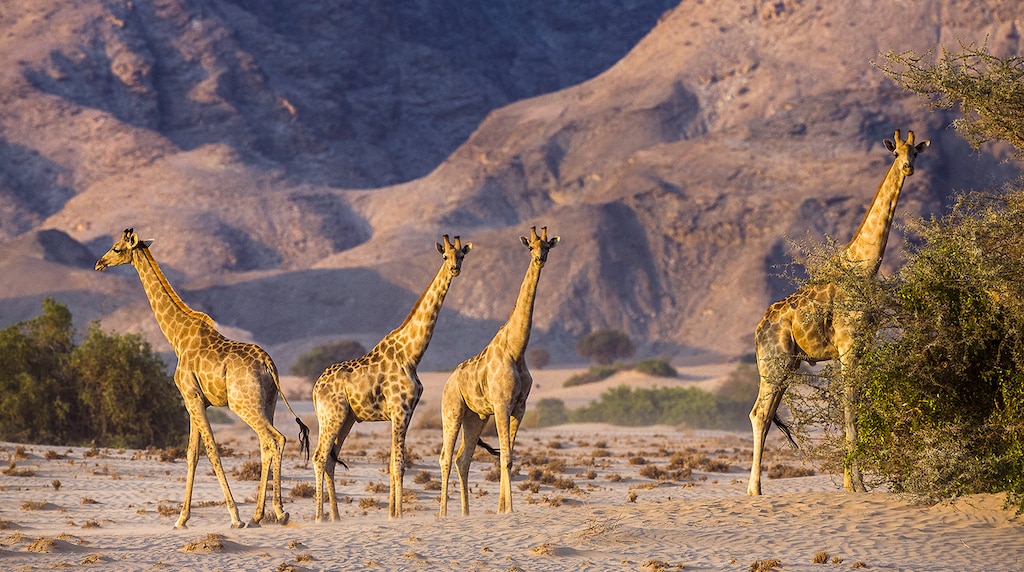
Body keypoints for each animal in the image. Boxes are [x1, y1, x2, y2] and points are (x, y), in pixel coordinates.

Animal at [94, 228, 309, 528]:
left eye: (116, 248)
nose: (99, 263)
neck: (177, 337)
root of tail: (269, 365)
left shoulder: (191, 397)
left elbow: (211, 450)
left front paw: (234, 517)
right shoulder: (195, 400)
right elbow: (191, 455)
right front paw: (181, 519)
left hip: (243, 404)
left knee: (275, 439)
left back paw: (277, 512)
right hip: (269, 402)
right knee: (265, 444)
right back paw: (258, 515)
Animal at [311, 234, 471, 521]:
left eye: (461, 255)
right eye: (445, 256)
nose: (455, 269)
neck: (411, 354)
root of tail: (315, 389)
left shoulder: (404, 412)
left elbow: (393, 463)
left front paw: (392, 513)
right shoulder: (400, 410)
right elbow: (398, 464)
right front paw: (397, 516)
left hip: (347, 419)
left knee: (329, 459)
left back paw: (336, 517)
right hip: (332, 415)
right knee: (319, 457)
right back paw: (320, 518)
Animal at [438, 226, 559, 517]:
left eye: (547, 247)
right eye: (531, 247)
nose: (539, 259)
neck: (516, 350)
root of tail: (447, 382)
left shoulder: (519, 406)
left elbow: (509, 457)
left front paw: (502, 509)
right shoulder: (502, 404)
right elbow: (505, 457)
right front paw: (509, 510)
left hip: (475, 417)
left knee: (463, 458)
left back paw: (465, 514)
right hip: (452, 410)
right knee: (445, 457)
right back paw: (443, 515)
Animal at [748, 130, 929, 496]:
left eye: (916, 153)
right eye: (896, 152)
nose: (908, 168)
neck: (865, 267)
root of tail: (757, 331)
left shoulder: (861, 348)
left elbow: (853, 406)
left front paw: (851, 483)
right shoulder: (847, 347)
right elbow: (848, 407)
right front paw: (857, 485)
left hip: (787, 365)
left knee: (766, 414)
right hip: (773, 364)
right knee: (758, 414)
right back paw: (754, 491)